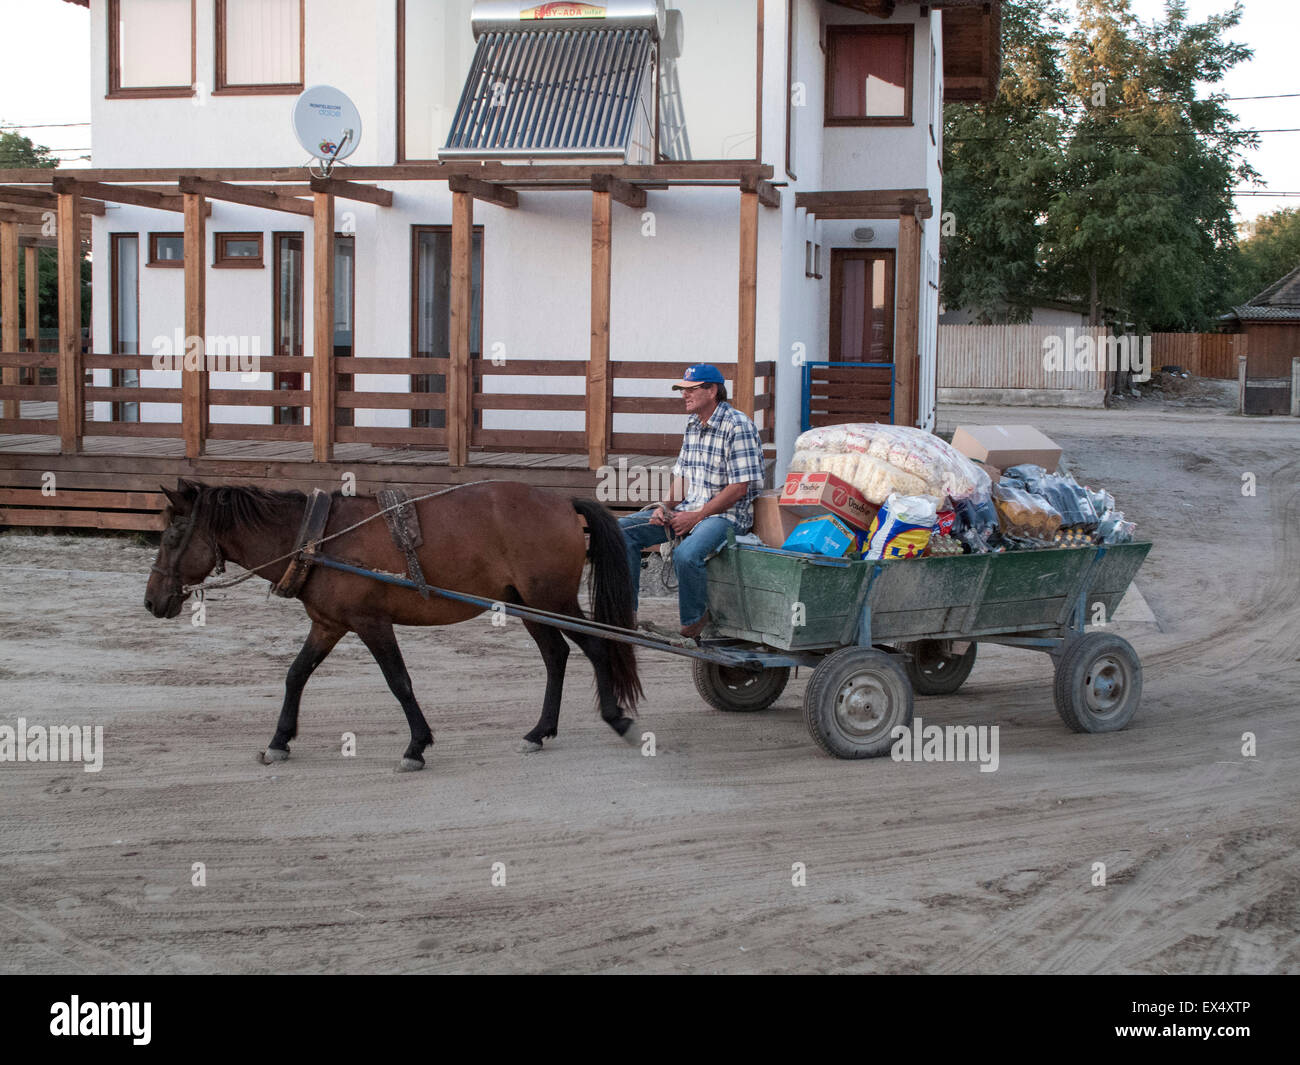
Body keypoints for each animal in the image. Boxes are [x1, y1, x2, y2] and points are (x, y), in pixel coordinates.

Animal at [144, 479, 642, 771]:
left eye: (173, 535)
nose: (151, 601)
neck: (318, 540)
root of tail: (562, 501)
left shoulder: (371, 623)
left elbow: (398, 681)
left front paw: (416, 745)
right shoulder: (328, 624)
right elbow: (295, 675)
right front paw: (280, 740)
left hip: (550, 600)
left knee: (597, 648)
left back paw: (615, 718)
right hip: (525, 603)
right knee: (557, 655)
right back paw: (540, 732)